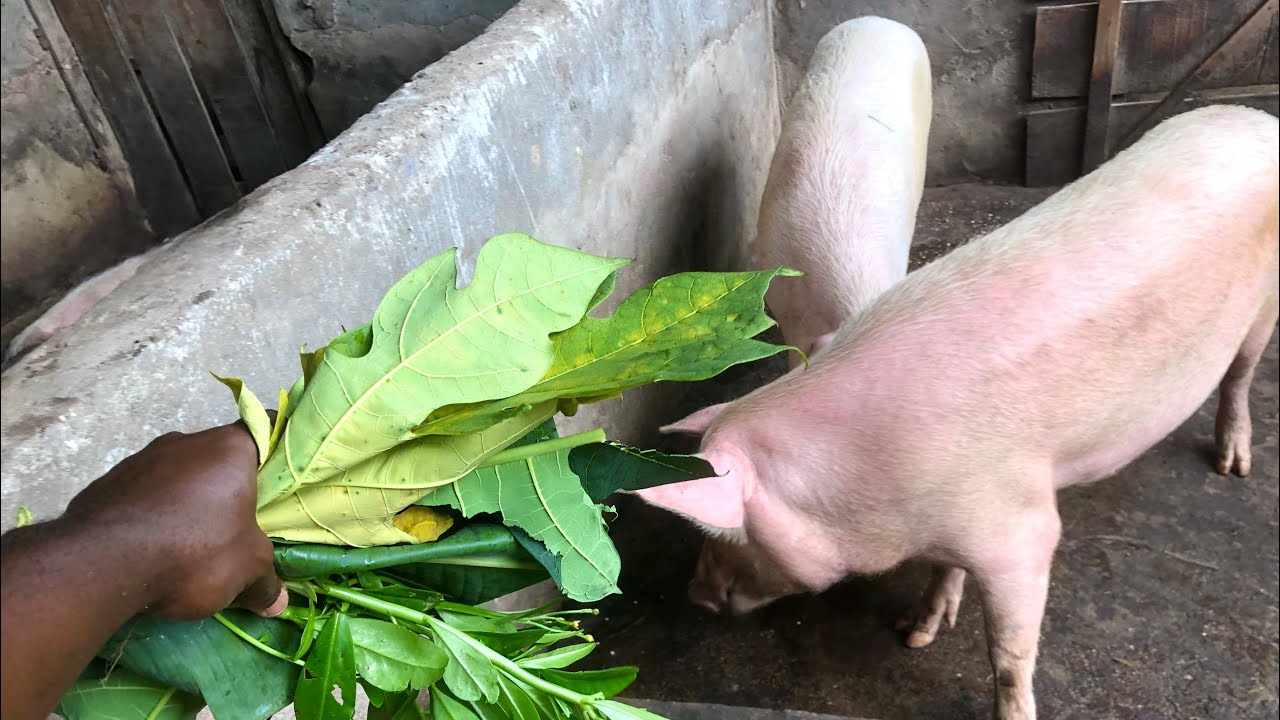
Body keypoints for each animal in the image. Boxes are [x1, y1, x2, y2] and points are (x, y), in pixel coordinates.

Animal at [638, 104, 1279, 720]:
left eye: (721, 532)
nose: (693, 593)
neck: (865, 484)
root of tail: (1258, 120)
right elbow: (947, 569)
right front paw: (917, 632)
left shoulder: (1021, 527)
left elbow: (1009, 652)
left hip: (1264, 310)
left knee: (1241, 374)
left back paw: (1233, 466)